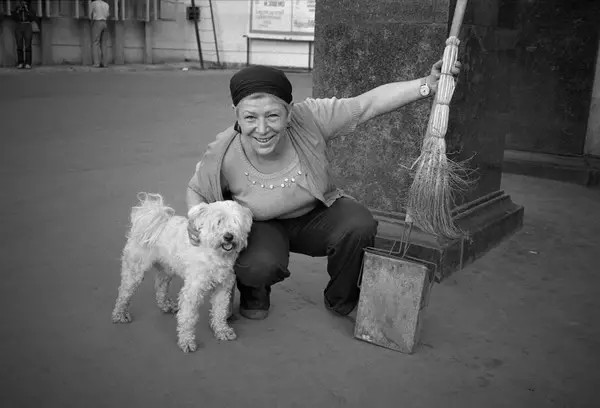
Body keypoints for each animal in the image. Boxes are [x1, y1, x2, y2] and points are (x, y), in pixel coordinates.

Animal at [111, 193, 252, 352]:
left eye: (236, 222)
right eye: (218, 222)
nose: (228, 236)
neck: (215, 255)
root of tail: (153, 217)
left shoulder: (223, 288)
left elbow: (220, 311)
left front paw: (223, 331)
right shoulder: (193, 290)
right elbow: (188, 317)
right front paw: (187, 341)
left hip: (166, 269)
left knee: (160, 286)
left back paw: (165, 305)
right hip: (135, 270)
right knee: (124, 292)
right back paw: (120, 314)